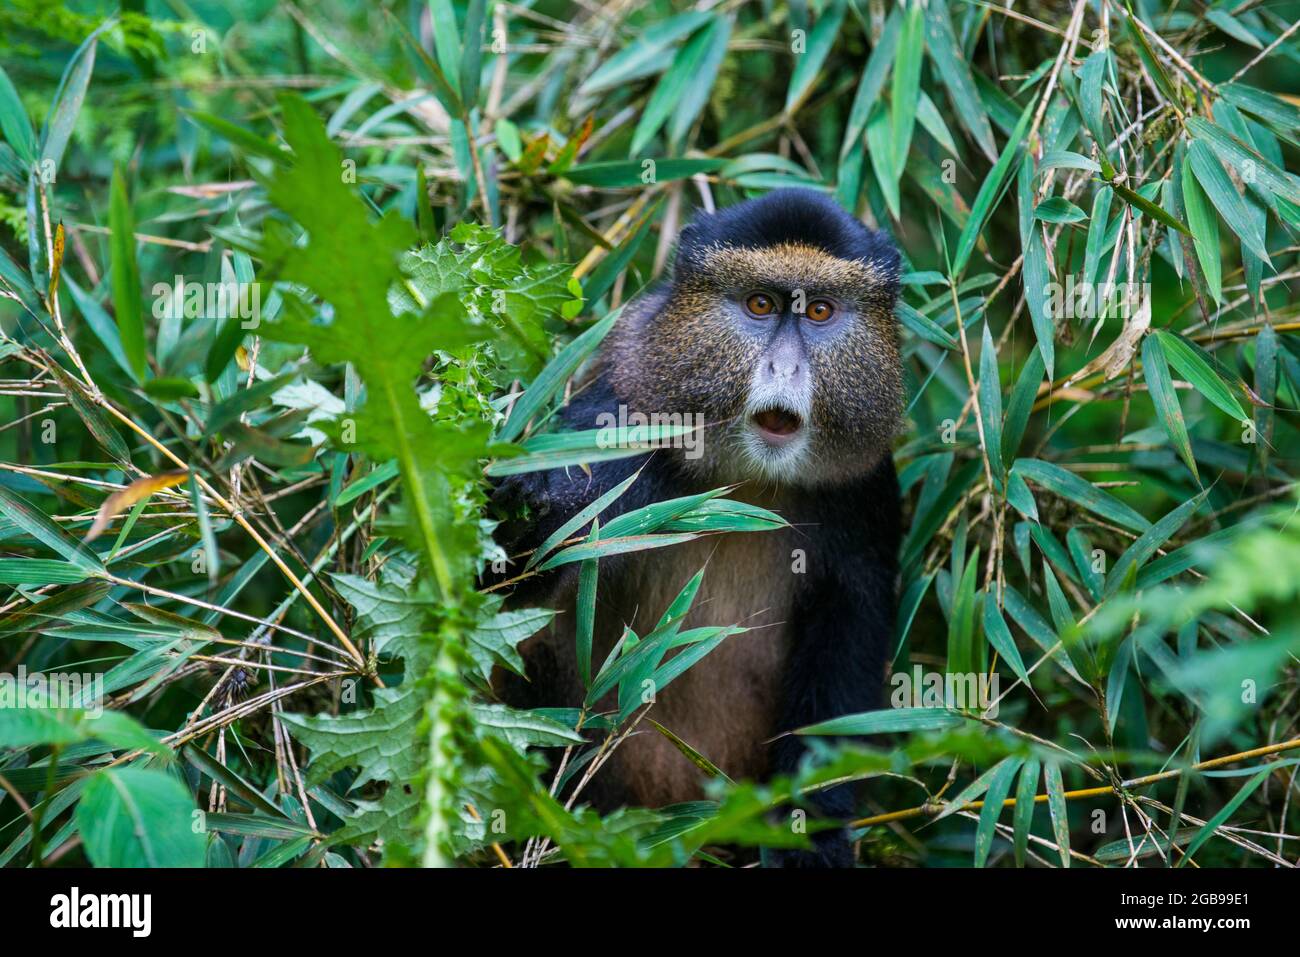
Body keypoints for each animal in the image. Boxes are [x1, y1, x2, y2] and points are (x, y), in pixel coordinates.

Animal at [491, 187, 902, 867]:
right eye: (760, 305)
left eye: (819, 311)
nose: (784, 369)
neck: (746, 483)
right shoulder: (615, 432)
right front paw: (527, 511)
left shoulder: (866, 493)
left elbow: (848, 640)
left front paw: (810, 836)